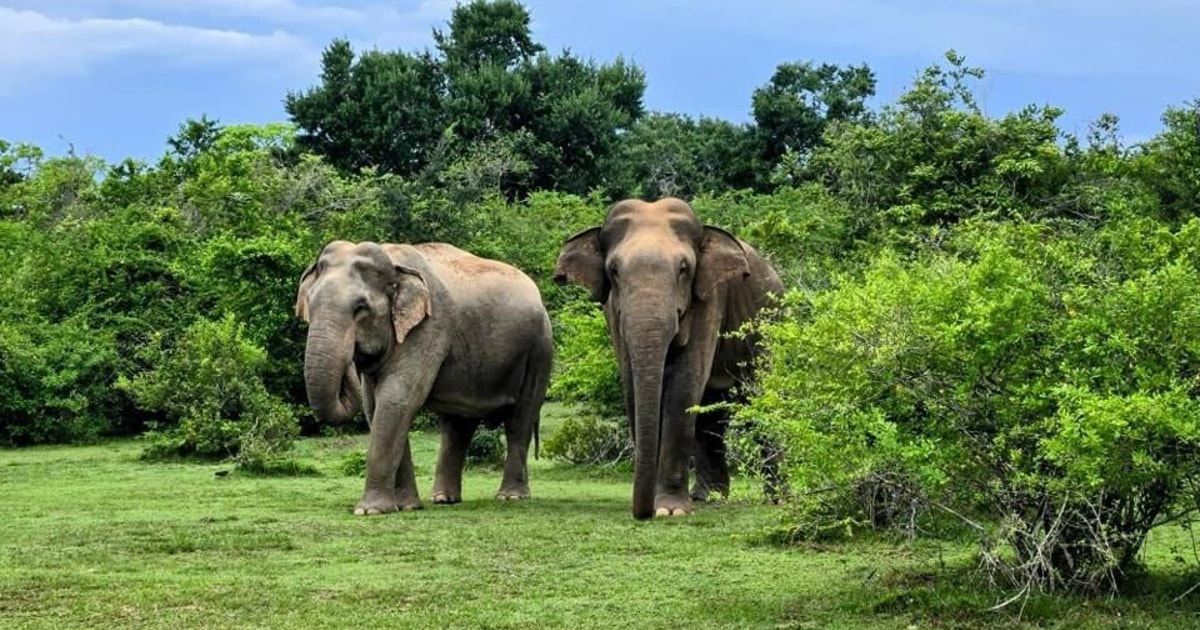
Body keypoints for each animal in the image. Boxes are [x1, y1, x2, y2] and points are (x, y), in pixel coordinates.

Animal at [295, 240, 553, 515]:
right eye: (309, 305)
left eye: (360, 308)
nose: (352, 359)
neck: (394, 263)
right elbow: (374, 406)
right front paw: (406, 506)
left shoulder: (429, 327)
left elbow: (397, 398)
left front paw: (370, 511)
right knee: (457, 427)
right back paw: (444, 498)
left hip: (539, 350)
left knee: (520, 419)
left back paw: (510, 497)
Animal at [554, 197, 785, 520]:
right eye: (614, 271)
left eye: (684, 269)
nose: (643, 512)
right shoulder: (612, 308)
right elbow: (632, 386)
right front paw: (662, 505)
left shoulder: (710, 297)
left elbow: (683, 388)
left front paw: (670, 510)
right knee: (710, 415)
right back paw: (708, 497)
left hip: (771, 321)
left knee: (762, 396)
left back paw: (777, 500)